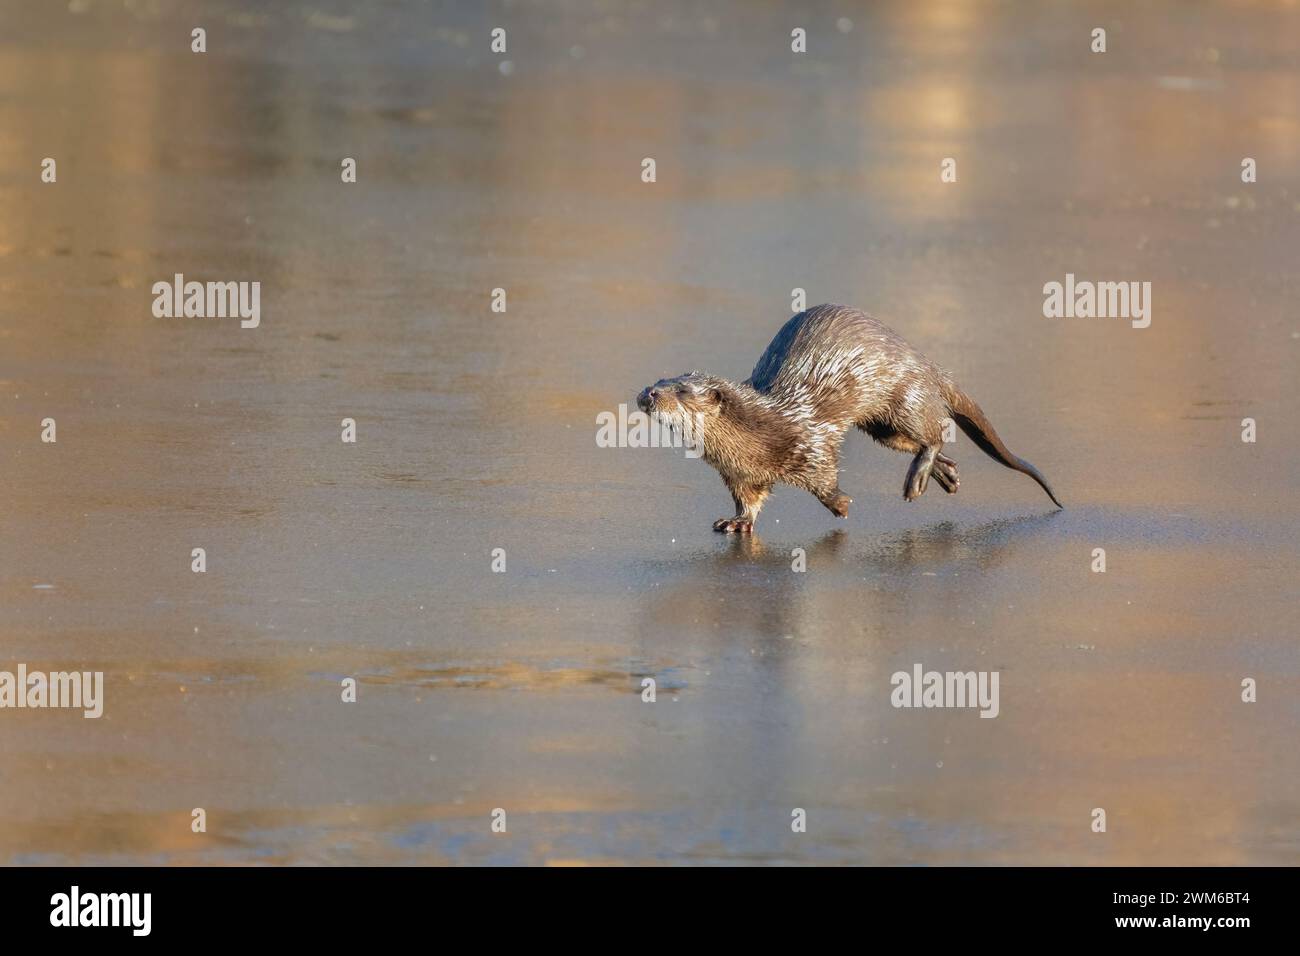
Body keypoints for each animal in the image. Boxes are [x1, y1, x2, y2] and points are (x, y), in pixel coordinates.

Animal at [637, 304, 1062, 533]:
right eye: (659, 379)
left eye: (681, 391)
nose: (648, 393)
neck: (757, 432)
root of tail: (926, 364)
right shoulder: (741, 475)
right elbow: (749, 502)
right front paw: (736, 522)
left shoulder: (811, 440)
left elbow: (825, 476)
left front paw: (840, 503)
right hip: (883, 428)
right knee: (919, 441)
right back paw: (947, 474)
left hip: (903, 398)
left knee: (935, 430)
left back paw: (918, 479)